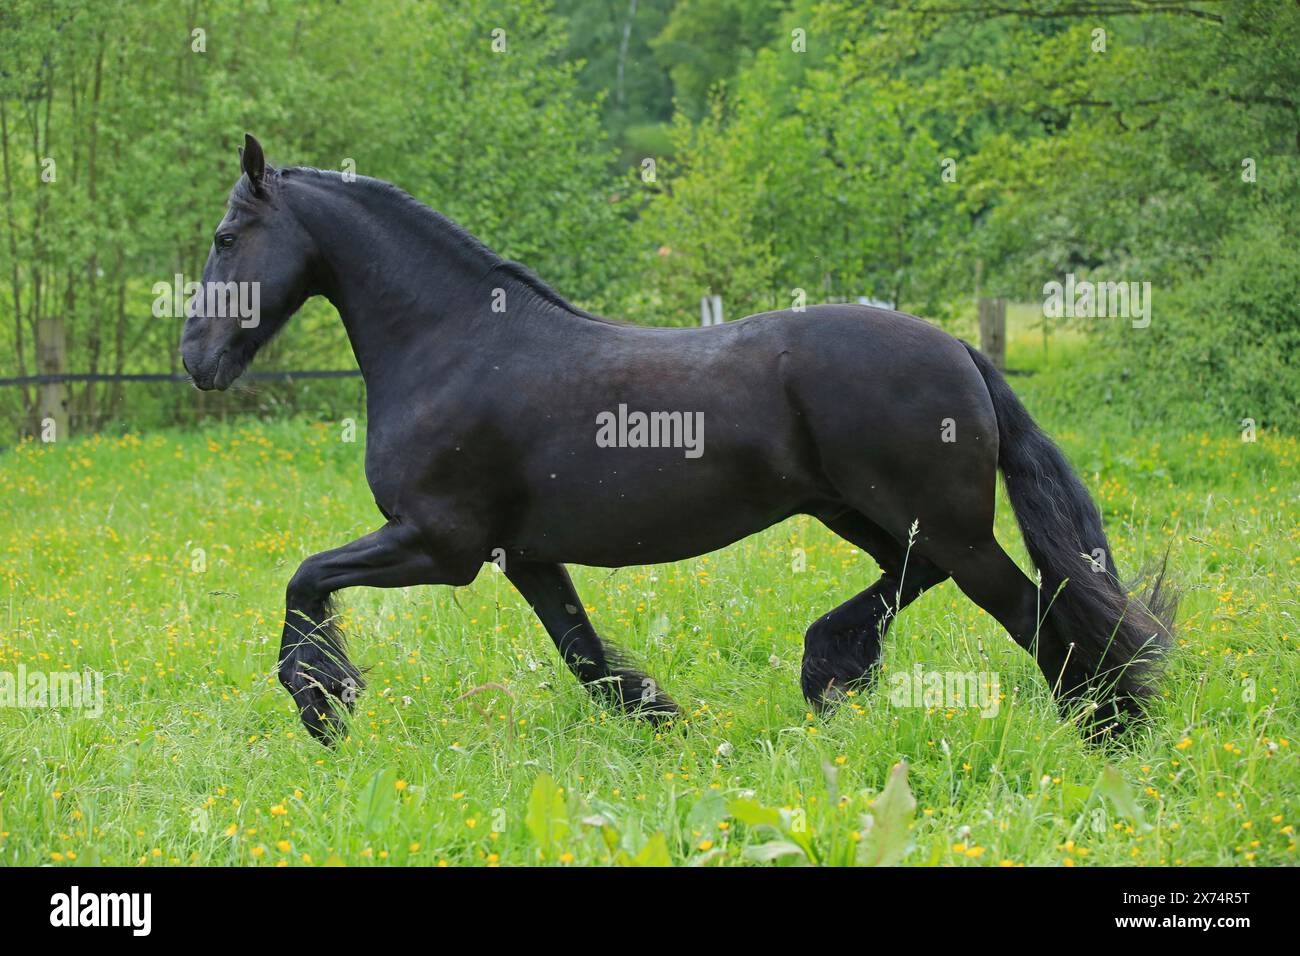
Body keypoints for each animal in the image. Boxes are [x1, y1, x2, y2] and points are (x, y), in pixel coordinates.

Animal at [181, 134, 1174, 743]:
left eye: (228, 235)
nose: (195, 357)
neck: (452, 343)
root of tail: (959, 348)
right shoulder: (523, 556)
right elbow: (585, 657)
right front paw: (670, 726)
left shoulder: (439, 544)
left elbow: (305, 577)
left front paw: (322, 704)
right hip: (861, 513)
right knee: (916, 578)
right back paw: (832, 668)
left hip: (946, 524)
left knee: (1031, 609)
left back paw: (1106, 730)